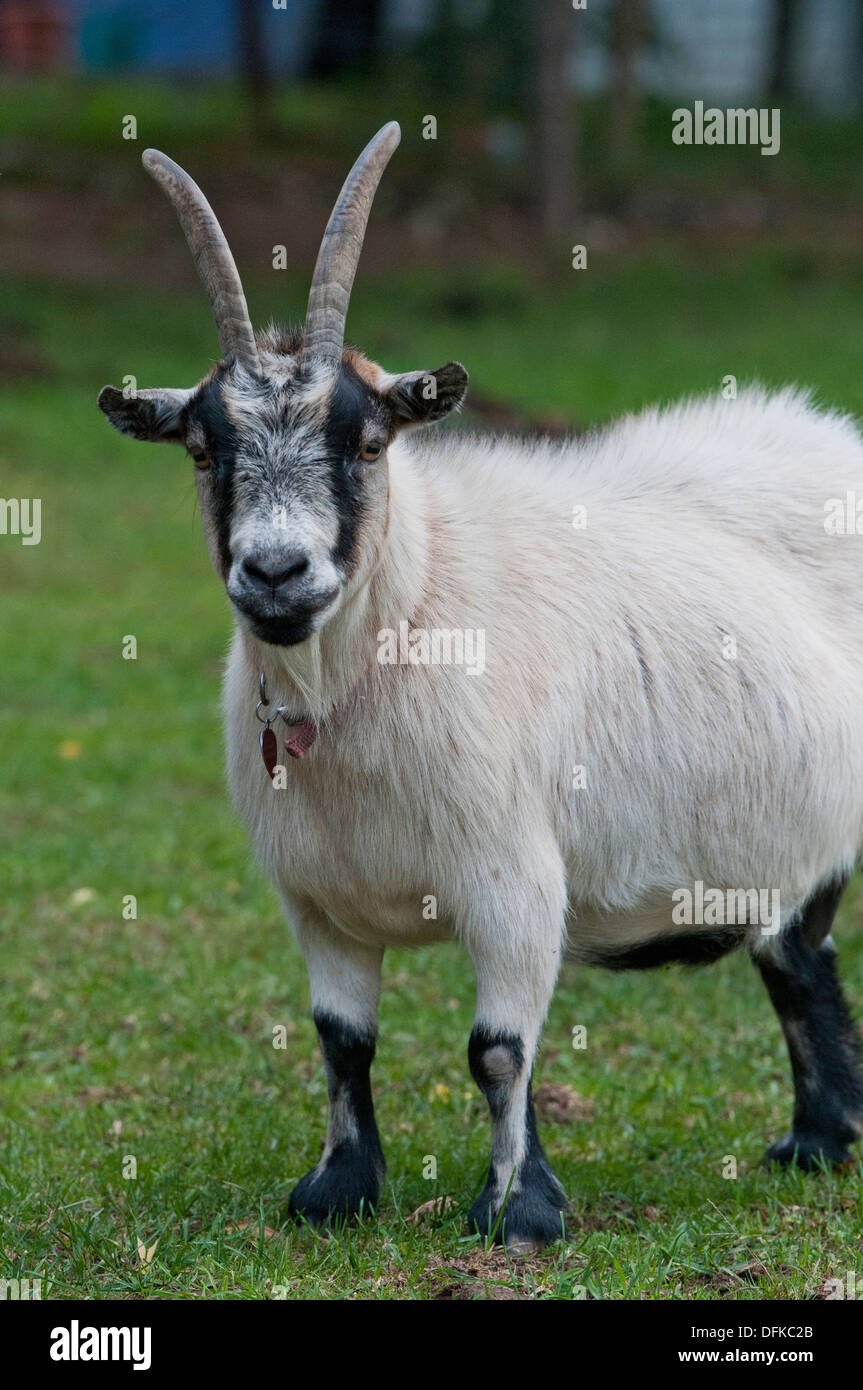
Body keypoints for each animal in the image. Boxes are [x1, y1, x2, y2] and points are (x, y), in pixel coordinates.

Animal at [98, 123, 863, 1249]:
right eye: (201, 449)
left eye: (368, 441)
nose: (277, 573)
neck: (408, 613)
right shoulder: (315, 899)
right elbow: (340, 1040)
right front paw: (336, 1190)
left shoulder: (512, 884)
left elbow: (496, 1049)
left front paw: (518, 1209)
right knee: (797, 958)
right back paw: (816, 1142)